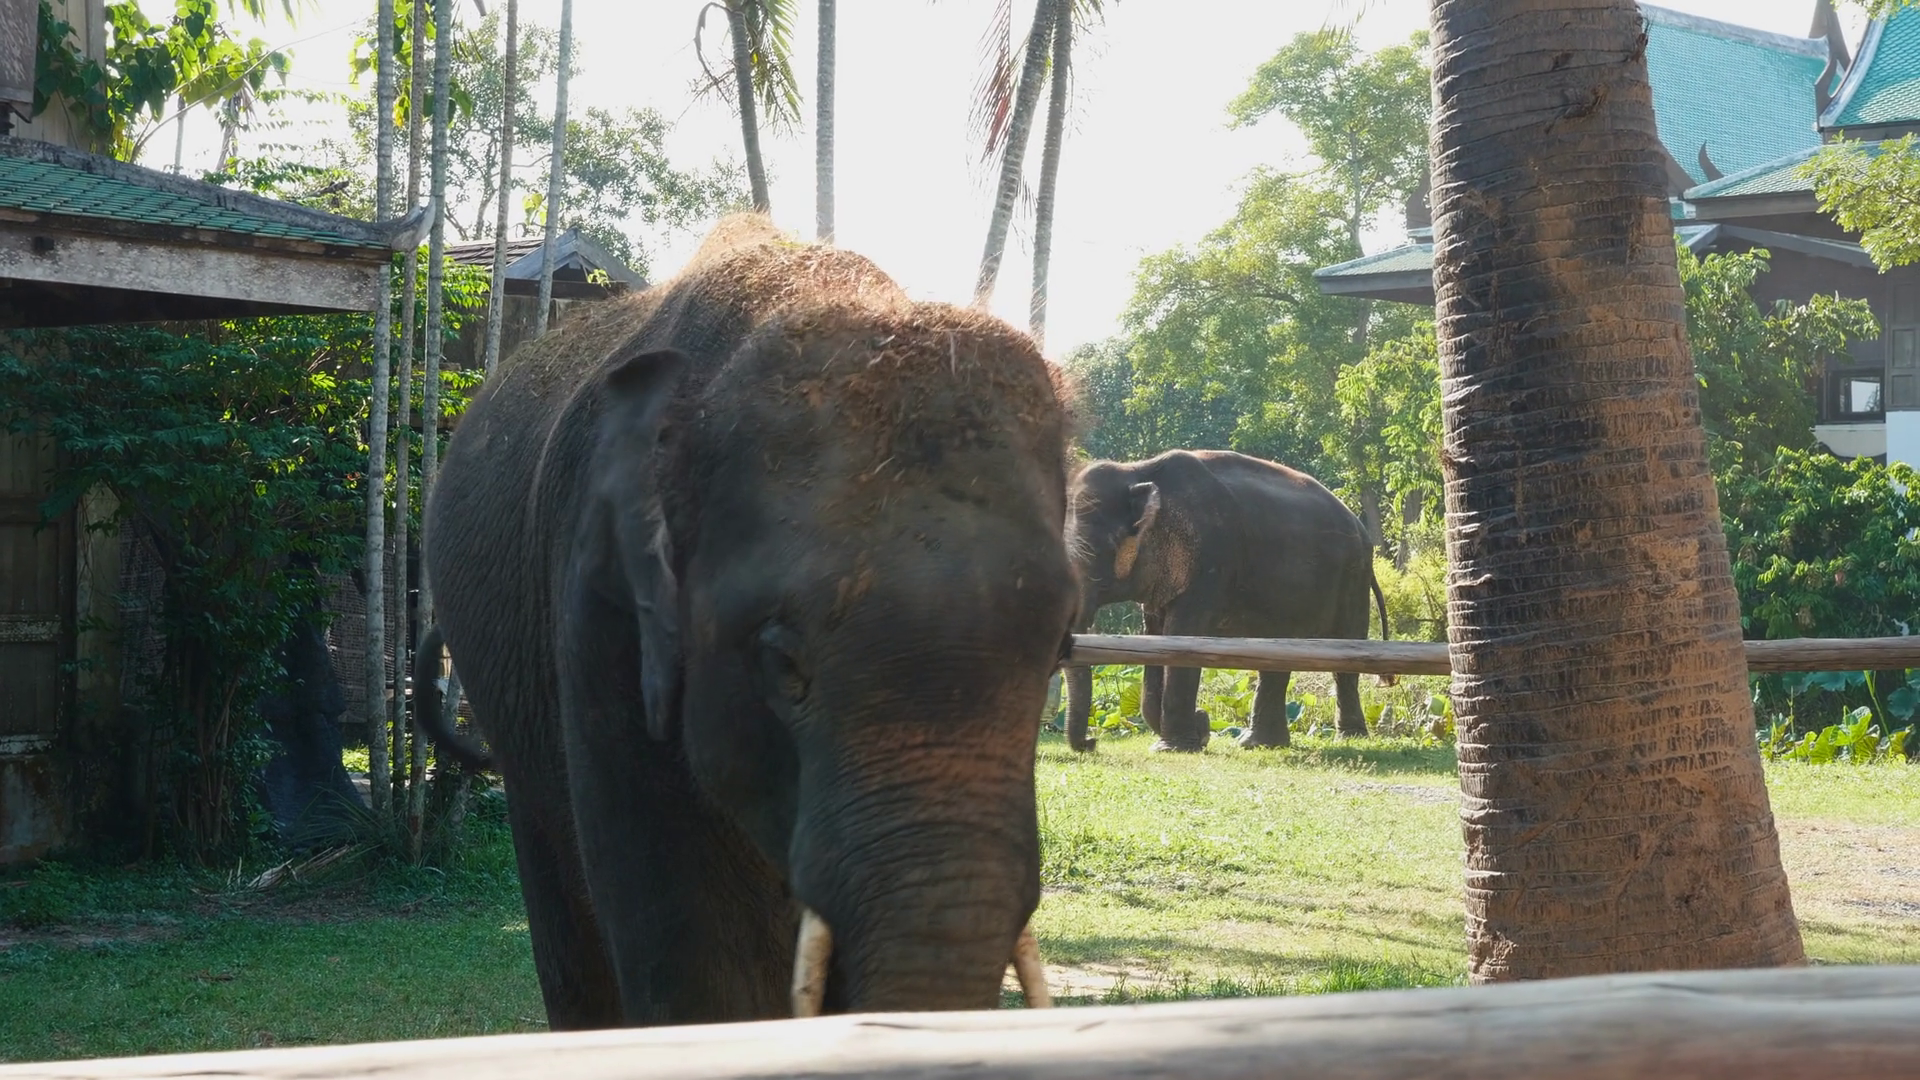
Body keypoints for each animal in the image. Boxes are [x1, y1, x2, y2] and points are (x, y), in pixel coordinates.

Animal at [1063, 449, 1387, 753]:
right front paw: (1198, 733)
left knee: (1345, 654)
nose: (1091, 742)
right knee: (1276, 657)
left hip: (1353, 576)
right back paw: (1258, 744)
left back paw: (1349, 737)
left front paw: (1183, 742)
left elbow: (1183, 636)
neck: (1135, 471)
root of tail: (1360, 527)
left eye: (1098, 549)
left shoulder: (1212, 561)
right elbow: (1155, 638)